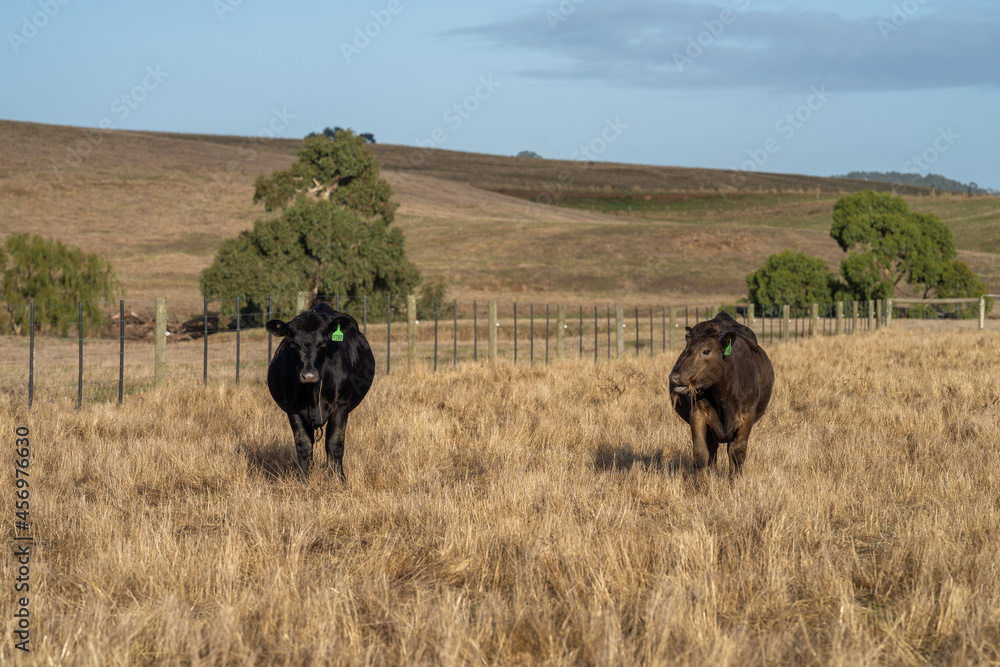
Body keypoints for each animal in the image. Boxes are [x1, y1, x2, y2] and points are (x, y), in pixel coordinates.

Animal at [265, 303, 375, 480]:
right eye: (293, 344)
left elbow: (335, 445)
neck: (313, 391)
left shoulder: (341, 406)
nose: (309, 375)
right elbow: (303, 445)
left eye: (322, 343)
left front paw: (339, 480)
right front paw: (303, 480)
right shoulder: (292, 407)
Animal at [668, 311, 774, 476]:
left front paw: (735, 481)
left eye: (706, 351)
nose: (674, 377)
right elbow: (700, 454)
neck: (723, 398)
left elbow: (737, 455)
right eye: (686, 351)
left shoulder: (747, 418)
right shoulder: (697, 415)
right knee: (712, 449)